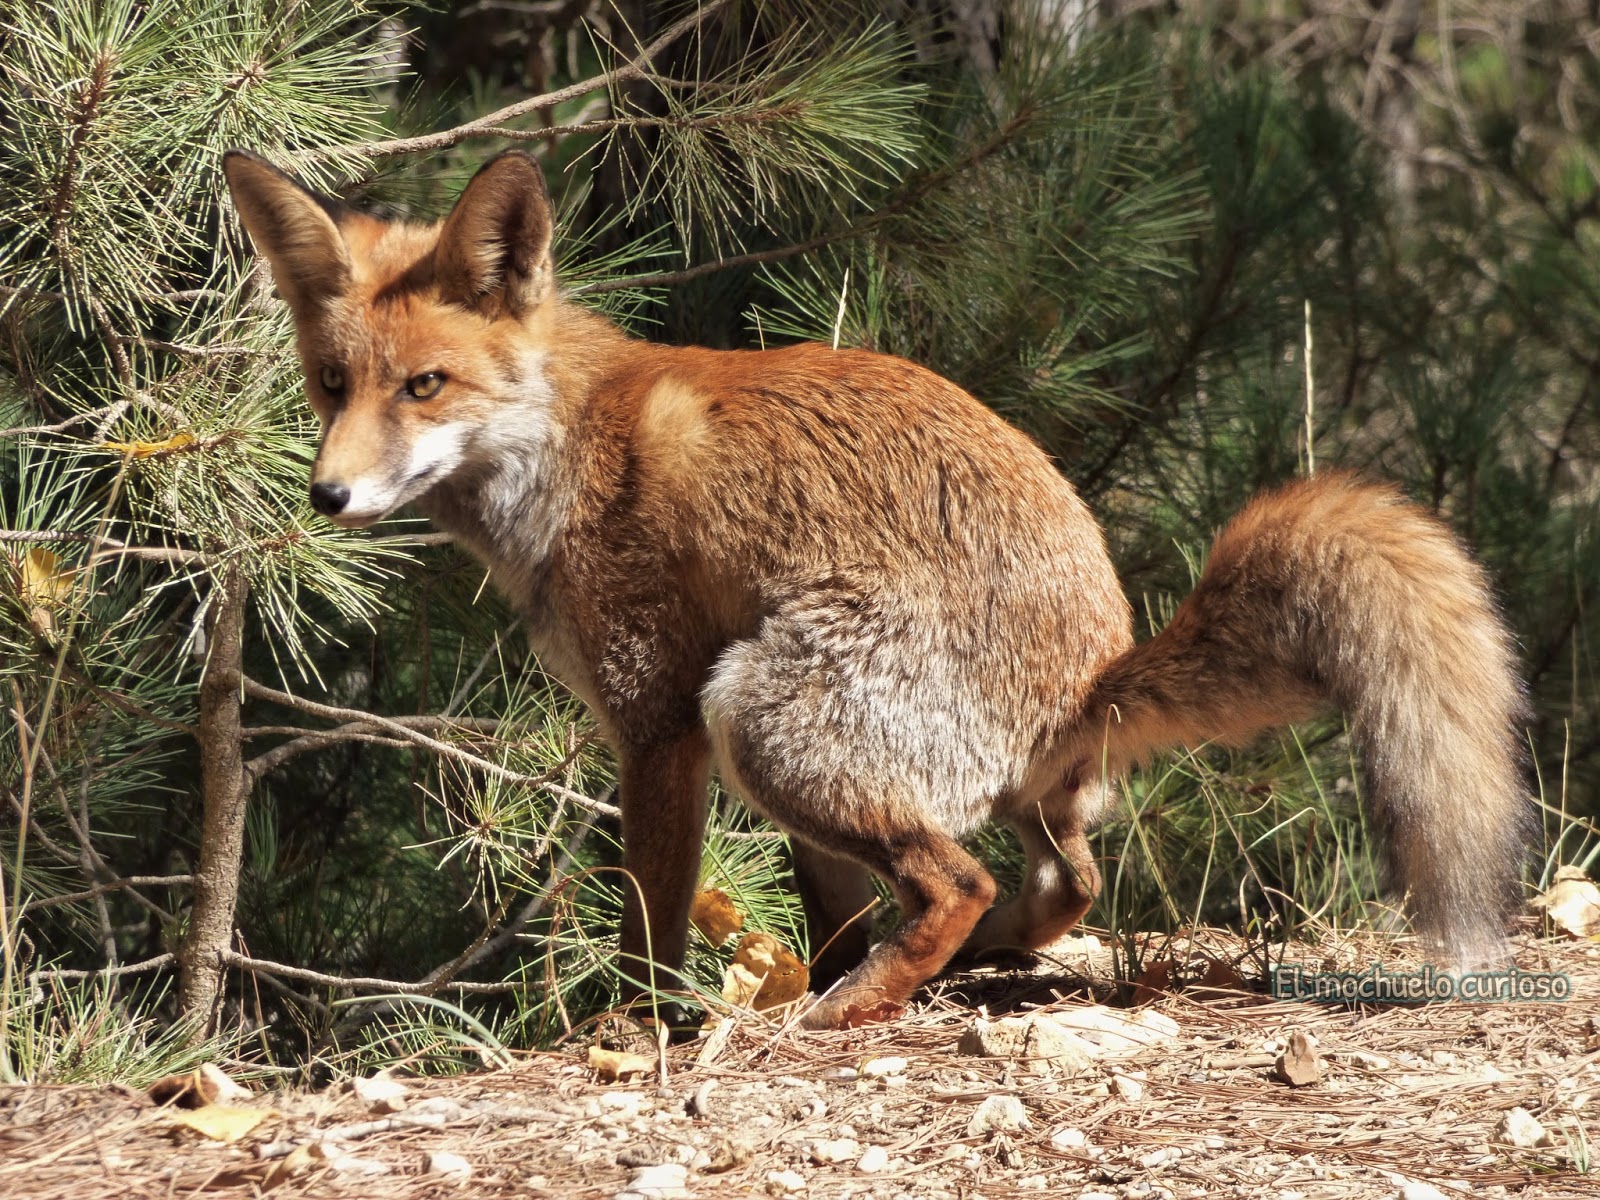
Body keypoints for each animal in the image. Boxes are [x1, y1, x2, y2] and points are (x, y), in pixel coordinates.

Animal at [223, 147, 1531, 1029]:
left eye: (425, 386)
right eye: (330, 383)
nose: (326, 496)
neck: (569, 445)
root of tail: (1096, 668)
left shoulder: (659, 723)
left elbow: (649, 922)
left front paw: (631, 1034)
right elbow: (798, 917)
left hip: (757, 713)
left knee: (962, 880)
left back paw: (859, 1000)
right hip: (894, 767)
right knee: (1059, 880)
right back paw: (944, 965)